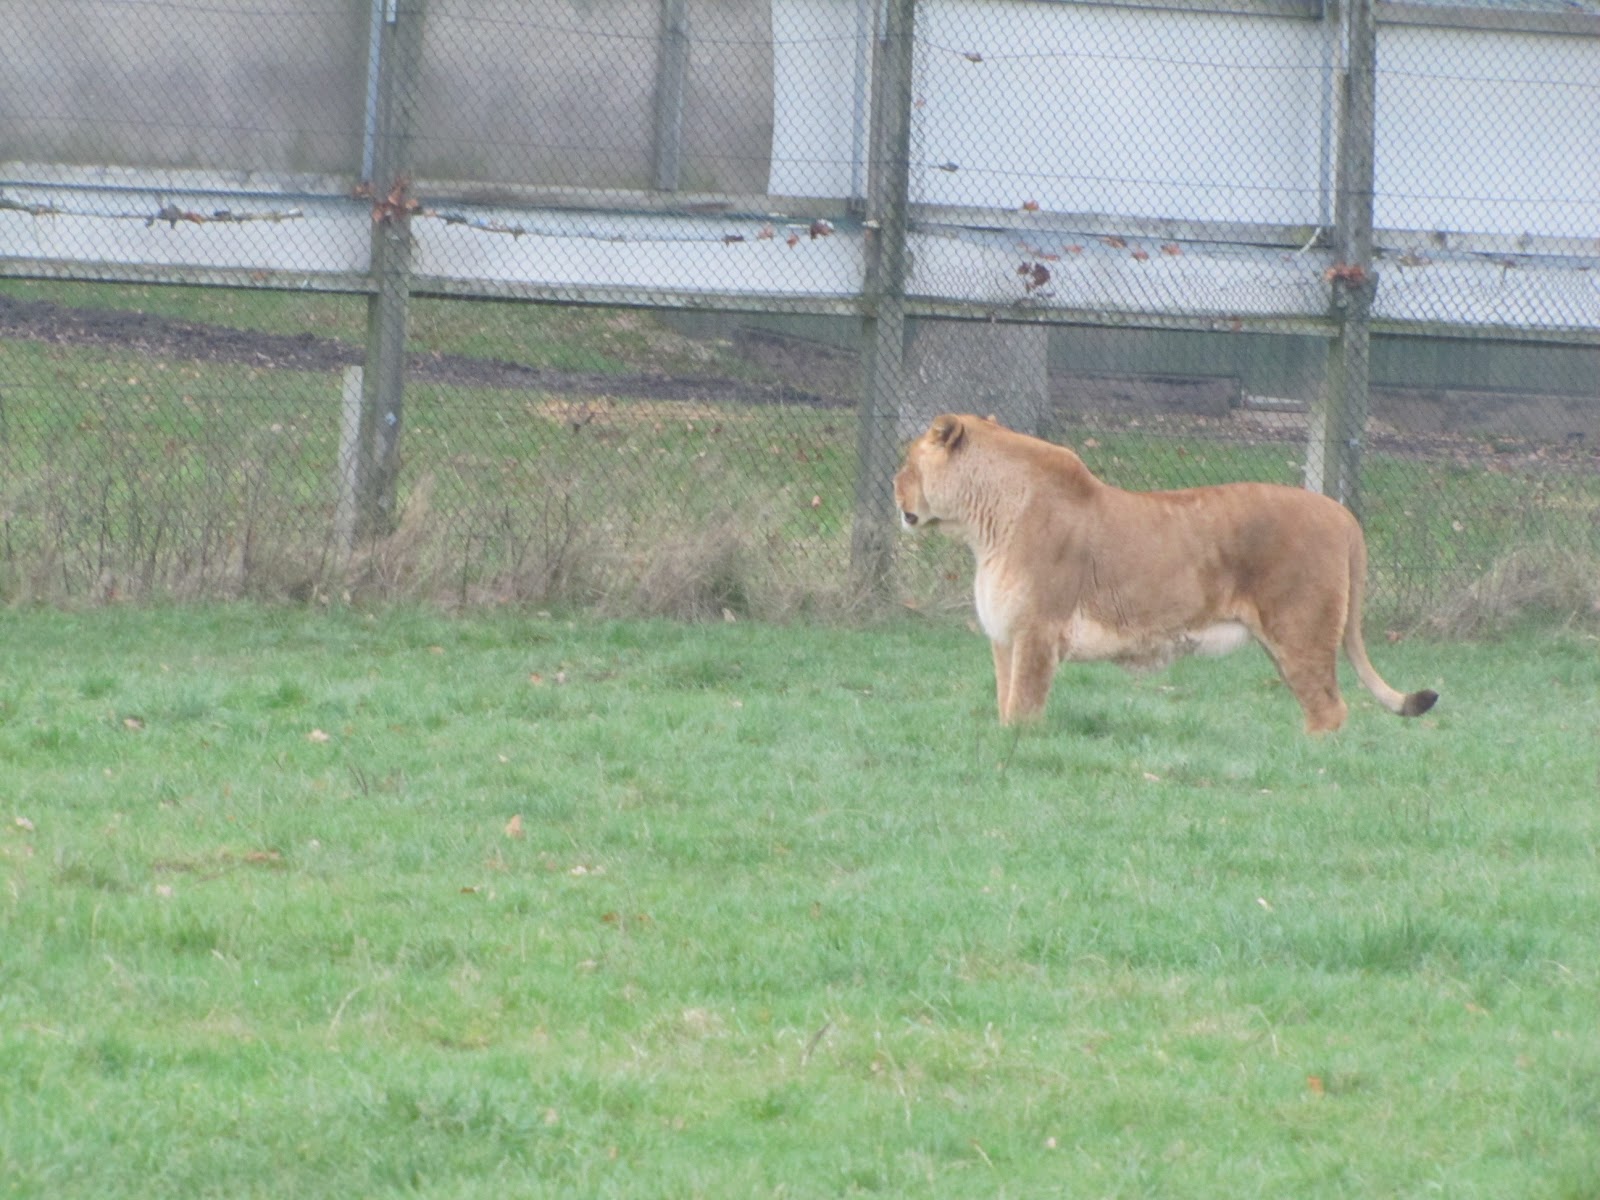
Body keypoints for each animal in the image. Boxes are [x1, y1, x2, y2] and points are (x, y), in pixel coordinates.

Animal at [894, 414, 1438, 733]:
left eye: (907, 461)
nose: (893, 489)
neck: (981, 525)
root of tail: (1342, 515)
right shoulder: (1006, 635)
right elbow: (1006, 704)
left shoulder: (1038, 631)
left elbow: (1024, 708)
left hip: (1301, 632)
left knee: (1329, 710)